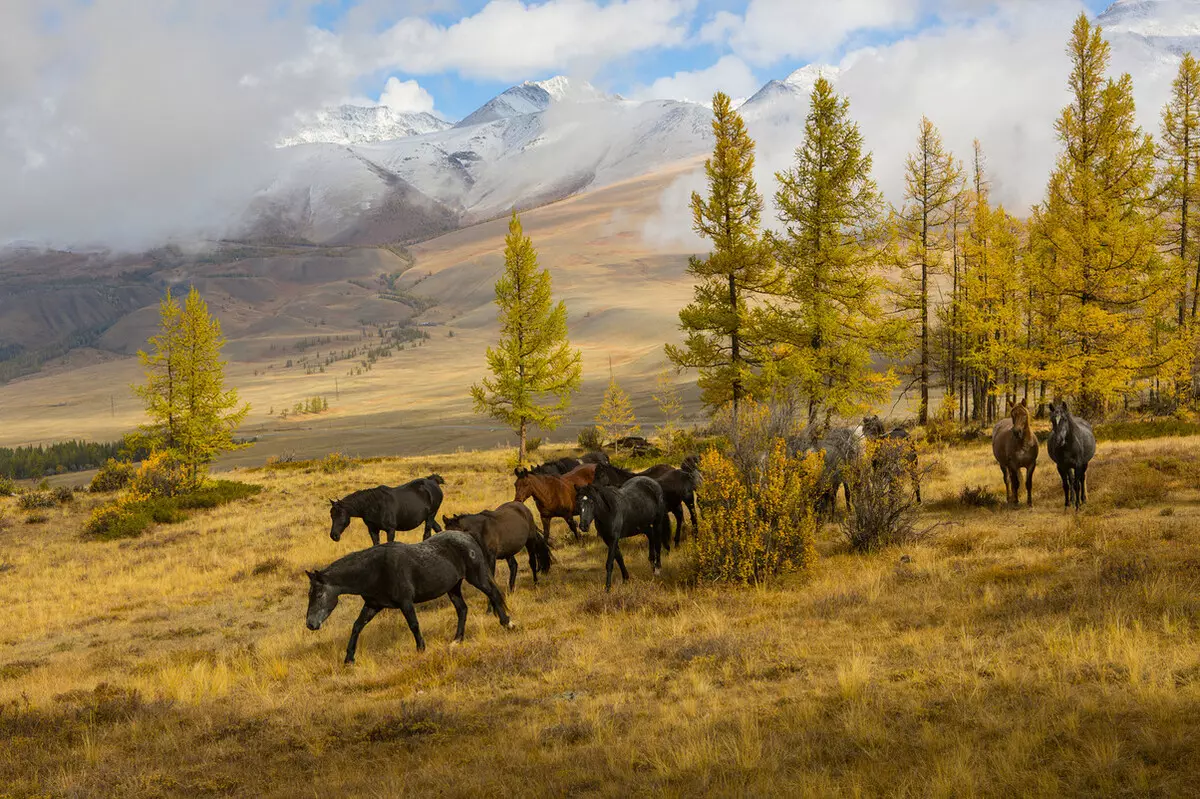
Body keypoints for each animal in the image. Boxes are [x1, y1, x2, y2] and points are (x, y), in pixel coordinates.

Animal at [304, 532, 511, 662]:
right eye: (309, 594)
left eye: (319, 594)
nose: (310, 624)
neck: (375, 569)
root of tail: (467, 537)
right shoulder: (373, 605)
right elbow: (357, 626)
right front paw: (349, 658)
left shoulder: (406, 602)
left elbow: (413, 624)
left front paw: (421, 649)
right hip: (453, 587)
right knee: (462, 609)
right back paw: (457, 640)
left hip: (477, 577)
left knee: (493, 594)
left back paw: (507, 622)